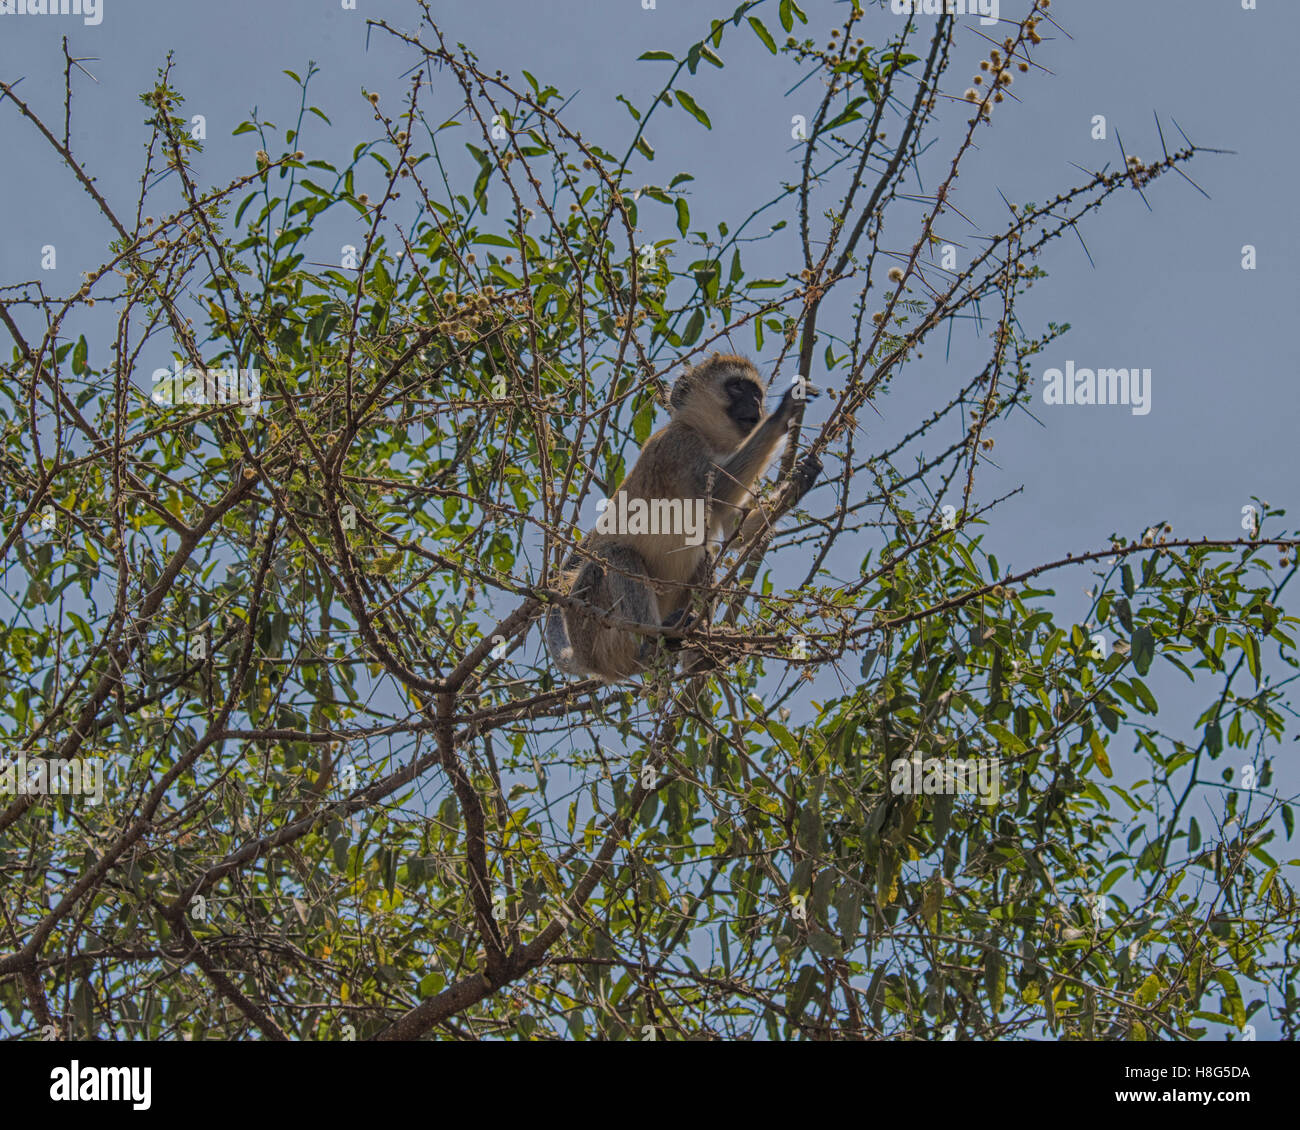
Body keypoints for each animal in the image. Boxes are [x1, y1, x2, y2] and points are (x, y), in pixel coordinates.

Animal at [545, 353, 821, 682]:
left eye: (756, 392)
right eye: (738, 387)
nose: (757, 404)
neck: (705, 436)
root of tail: (585, 659)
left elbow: (734, 531)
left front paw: (802, 480)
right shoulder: (678, 446)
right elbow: (719, 497)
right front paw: (782, 414)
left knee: (704, 556)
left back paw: (698, 654)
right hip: (593, 625)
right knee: (616, 556)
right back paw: (653, 642)